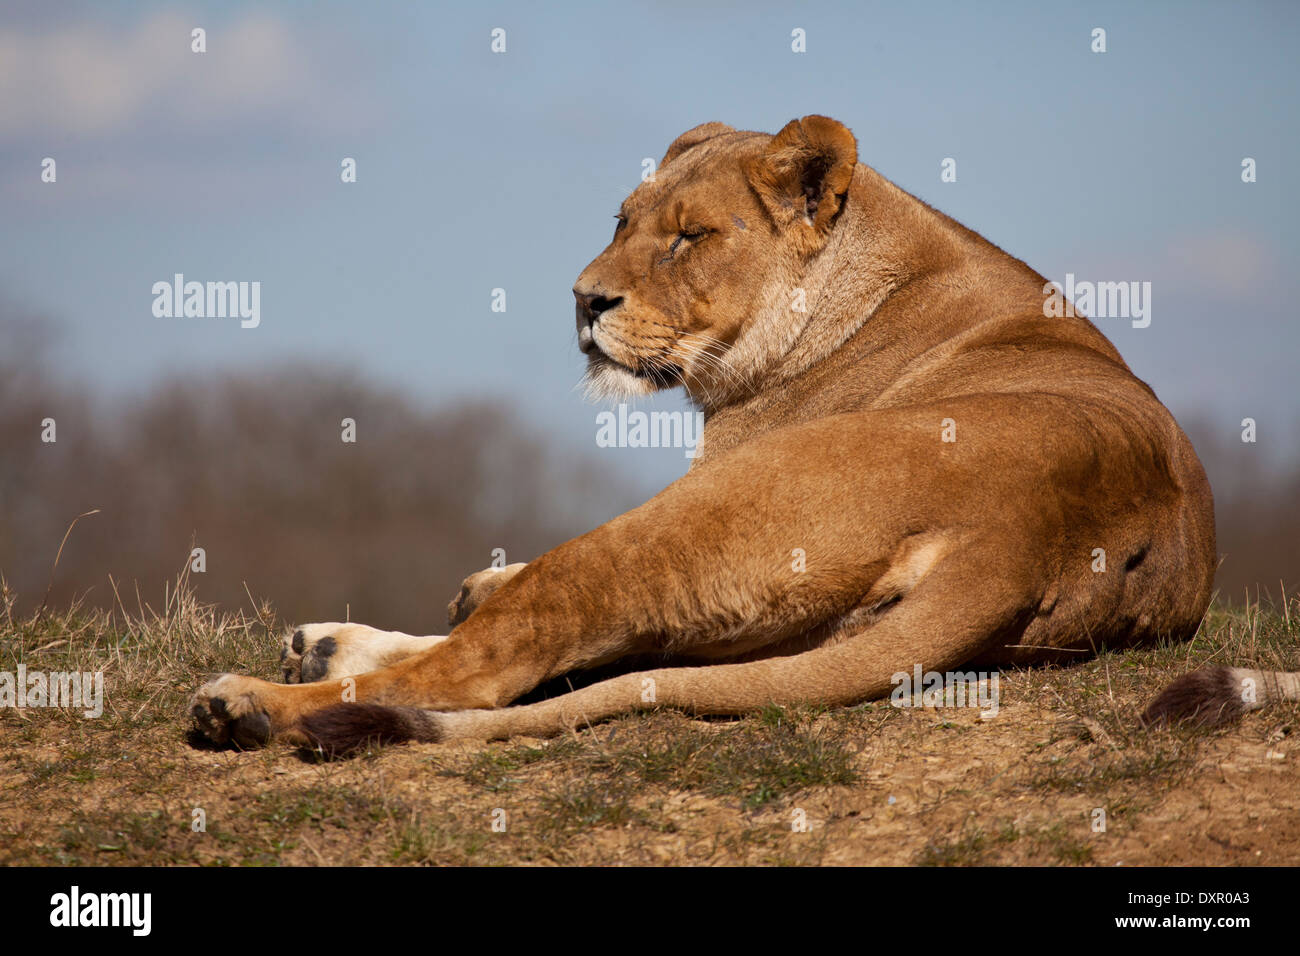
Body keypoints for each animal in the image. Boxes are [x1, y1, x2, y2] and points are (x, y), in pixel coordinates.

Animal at [190, 114, 1220, 753]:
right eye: (622, 221)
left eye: (689, 237)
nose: (583, 300)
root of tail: (1031, 535)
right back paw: (324, 650)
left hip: (687, 524)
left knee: (492, 664)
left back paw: (250, 706)